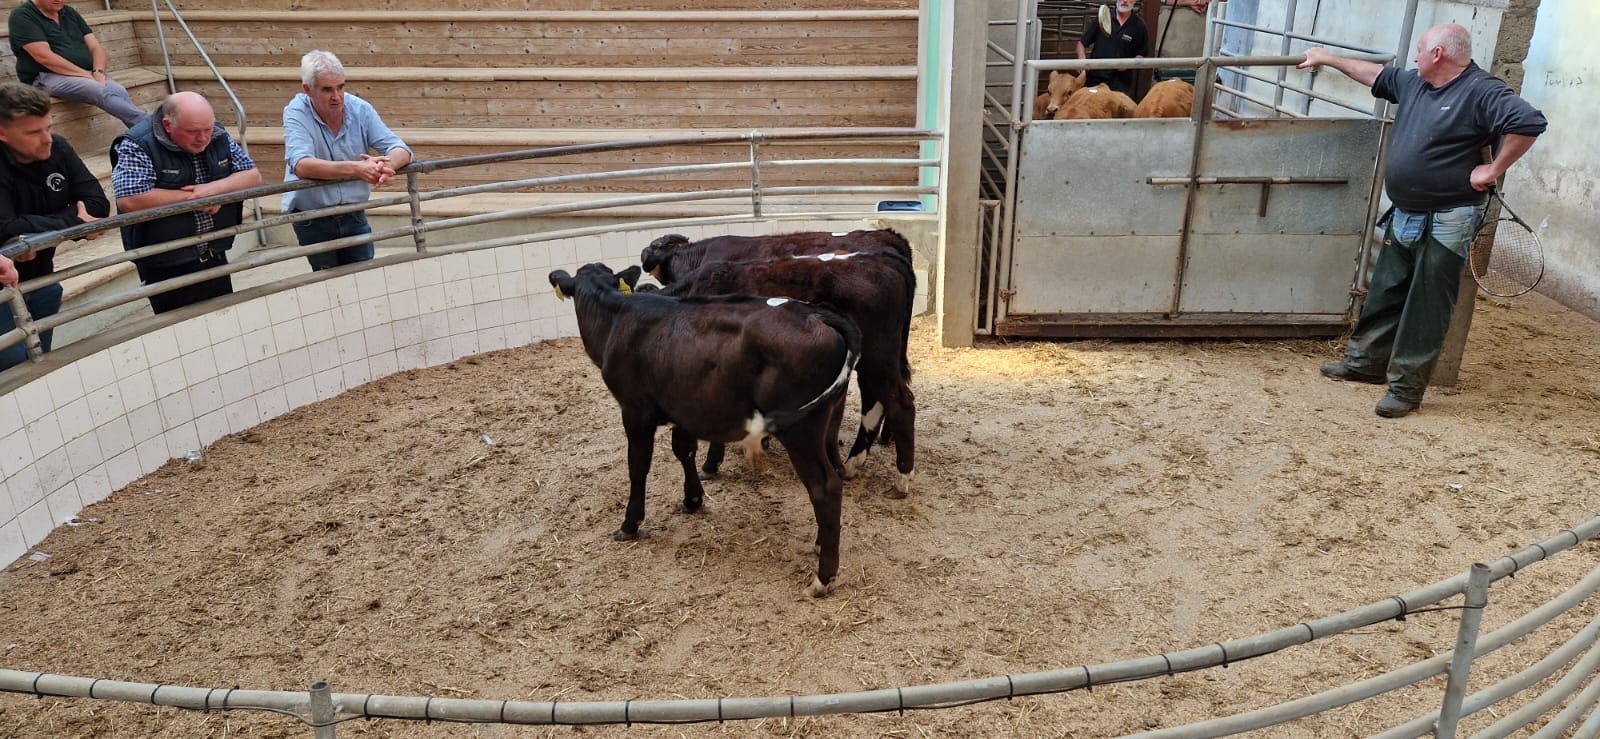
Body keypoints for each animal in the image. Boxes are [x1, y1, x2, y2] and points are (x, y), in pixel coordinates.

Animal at [549, 262, 862, 597]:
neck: (617, 316)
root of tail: (815, 313)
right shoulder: (684, 406)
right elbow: (684, 451)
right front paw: (693, 500)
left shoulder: (635, 410)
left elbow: (638, 466)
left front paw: (630, 523)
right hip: (827, 417)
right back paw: (820, 543)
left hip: (801, 429)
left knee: (825, 487)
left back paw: (823, 577)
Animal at [640, 229, 917, 497]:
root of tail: (884, 257)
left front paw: (712, 463)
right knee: (875, 402)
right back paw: (853, 463)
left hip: (878, 358)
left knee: (900, 403)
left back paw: (901, 479)